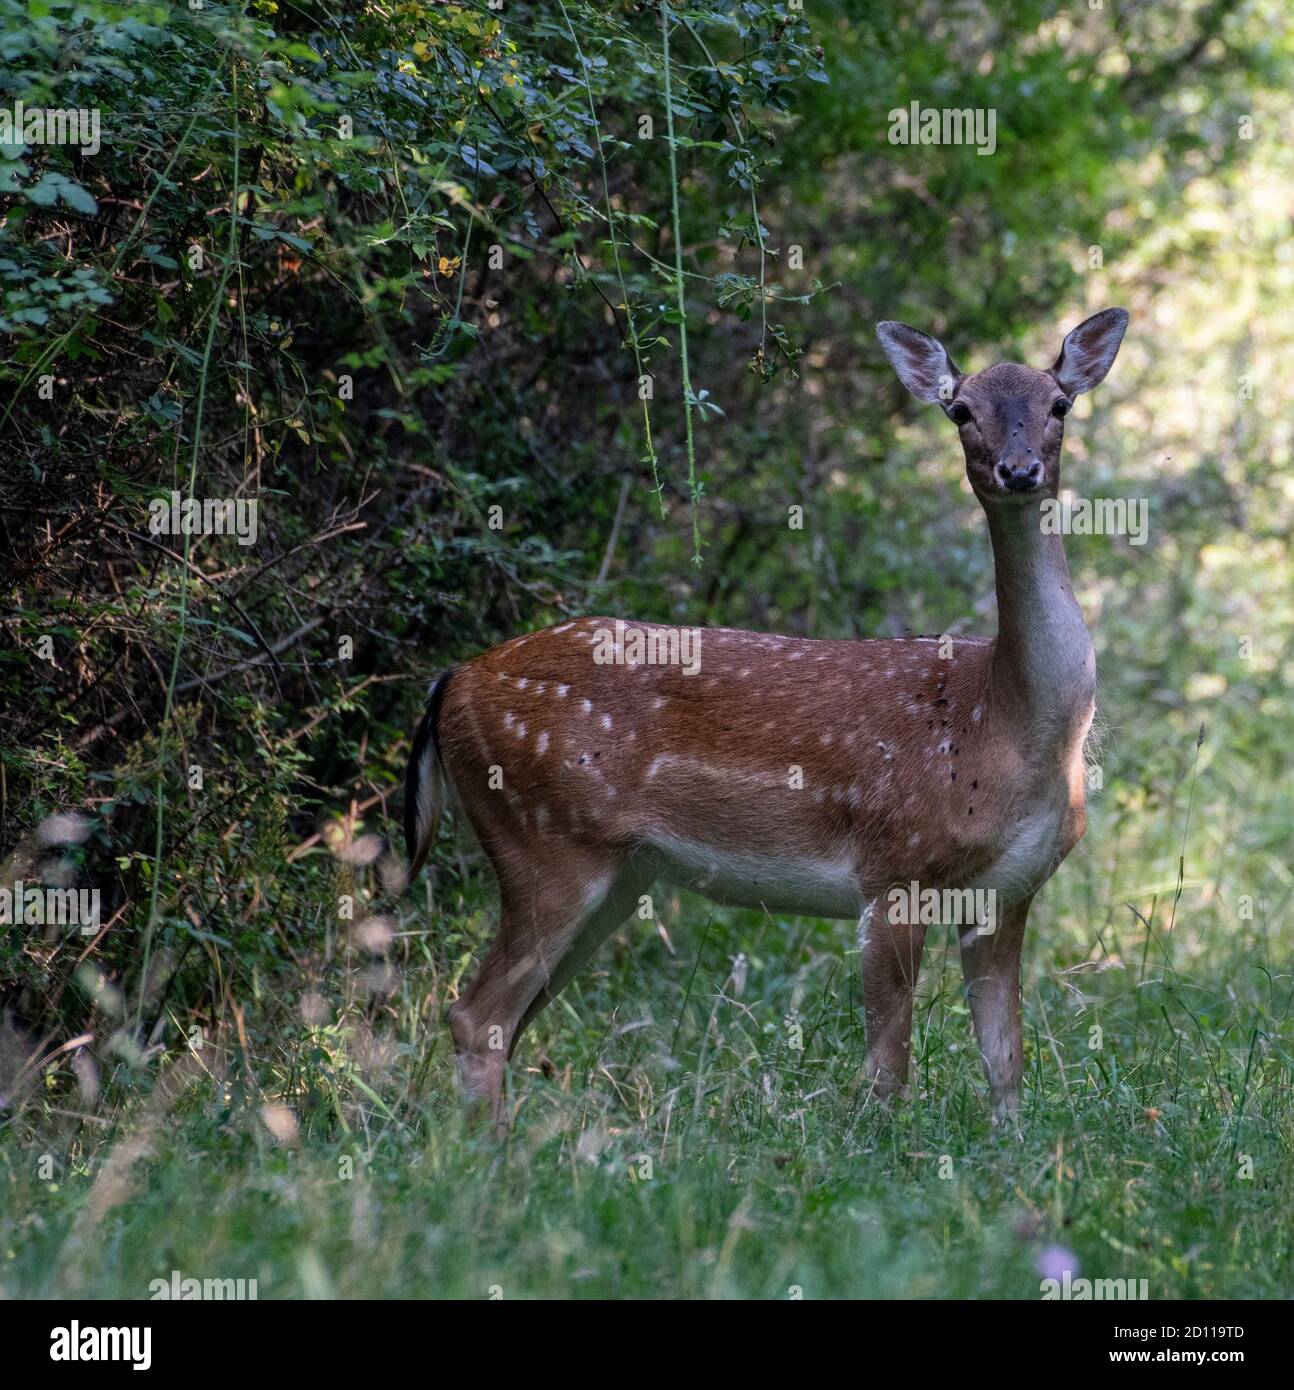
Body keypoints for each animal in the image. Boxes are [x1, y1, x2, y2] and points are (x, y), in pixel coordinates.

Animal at [406, 308, 1129, 1125]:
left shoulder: (1007, 893)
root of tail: (450, 682)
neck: (1002, 727)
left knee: (513, 1016)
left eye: (1059, 405)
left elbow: (1007, 1063)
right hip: (544, 839)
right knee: (478, 1013)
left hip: (616, 872)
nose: (1018, 470)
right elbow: (888, 1068)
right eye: (962, 410)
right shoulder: (893, 866)